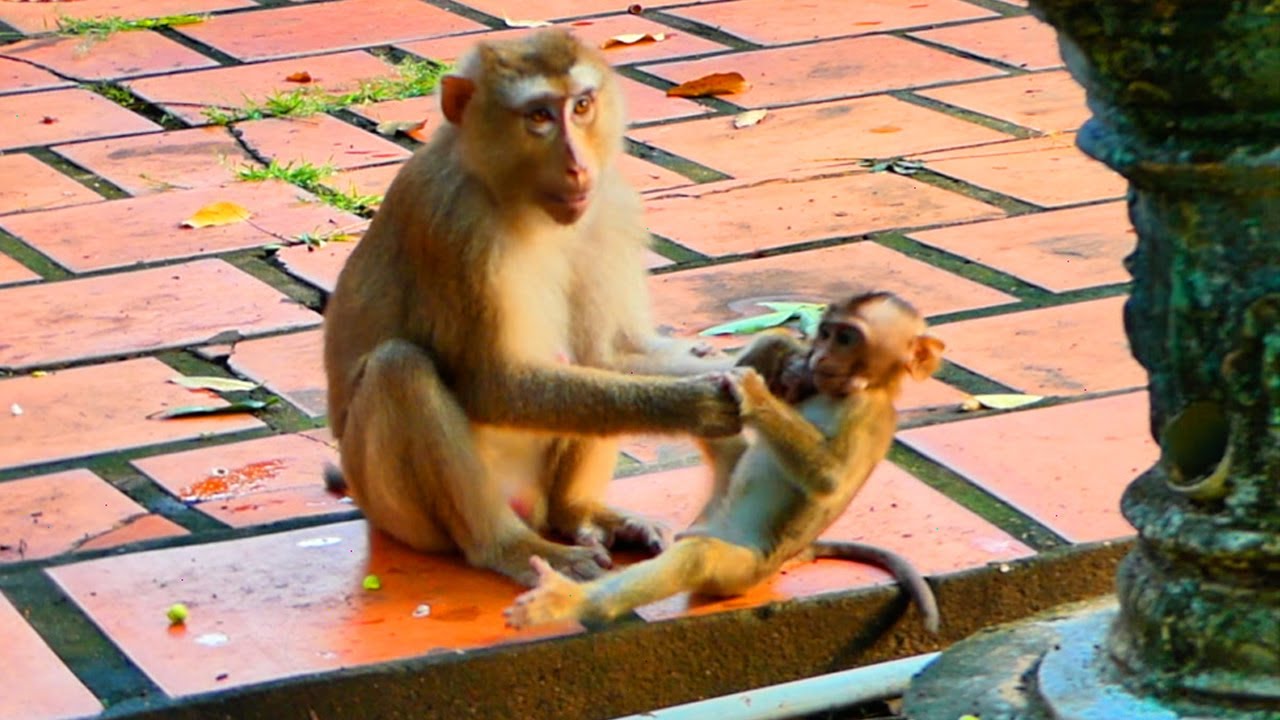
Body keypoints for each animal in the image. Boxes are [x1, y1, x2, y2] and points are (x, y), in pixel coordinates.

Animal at [321, 29, 743, 588]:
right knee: (400, 368)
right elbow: (493, 384)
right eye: (539, 116)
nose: (577, 165)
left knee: (588, 363)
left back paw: (579, 512)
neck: (512, 196)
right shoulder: (454, 225)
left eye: (581, 106)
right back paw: (509, 547)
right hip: (398, 511)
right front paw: (693, 405)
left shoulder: (610, 204)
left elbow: (612, 353)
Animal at [504, 292, 945, 633]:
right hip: (719, 492)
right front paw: (774, 355)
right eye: (825, 333)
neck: (854, 391)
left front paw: (754, 390)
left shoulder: (865, 417)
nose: (818, 356)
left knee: (699, 558)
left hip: (740, 573)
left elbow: (829, 479)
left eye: (847, 337)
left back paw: (568, 600)